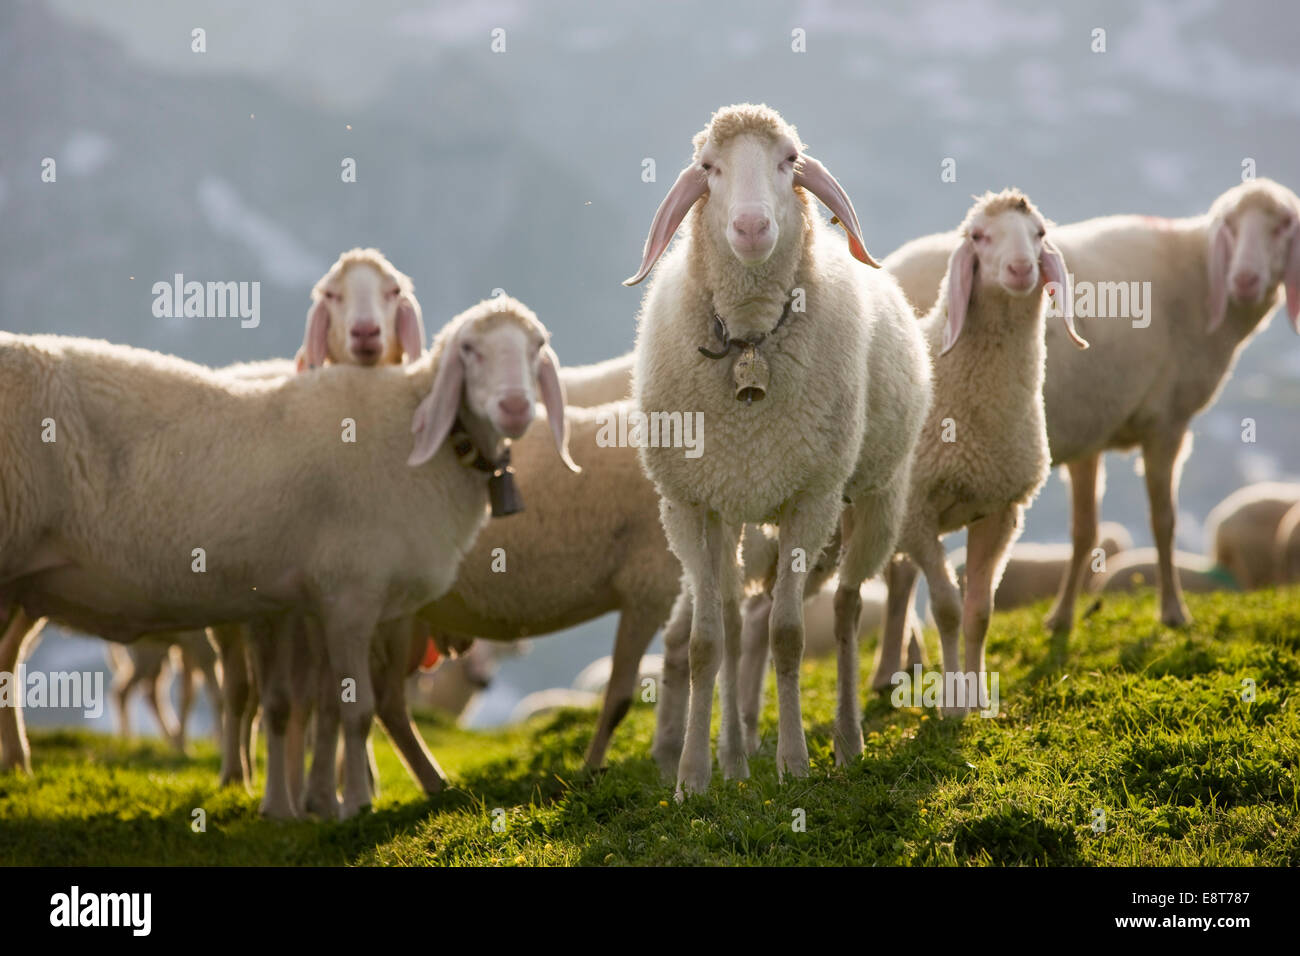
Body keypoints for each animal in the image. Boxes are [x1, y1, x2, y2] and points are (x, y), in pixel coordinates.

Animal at [0, 296, 577, 818]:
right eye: (469, 350)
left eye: (538, 347)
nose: (516, 408)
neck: (420, 440)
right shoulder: (349, 595)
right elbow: (355, 709)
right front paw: (355, 804)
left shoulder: (318, 603)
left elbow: (318, 707)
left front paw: (312, 800)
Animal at [626, 103, 932, 794]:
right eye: (709, 167)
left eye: (789, 160)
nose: (750, 226)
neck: (749, 342)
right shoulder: (690, 504)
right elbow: (708, 644)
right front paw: (694, 777)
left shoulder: (808, 499)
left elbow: (790, 637)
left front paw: (795, 763)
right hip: (739, 511)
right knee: (741, 619)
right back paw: (737, 758)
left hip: (871, 499)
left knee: (845, 609)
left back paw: (846, 739)